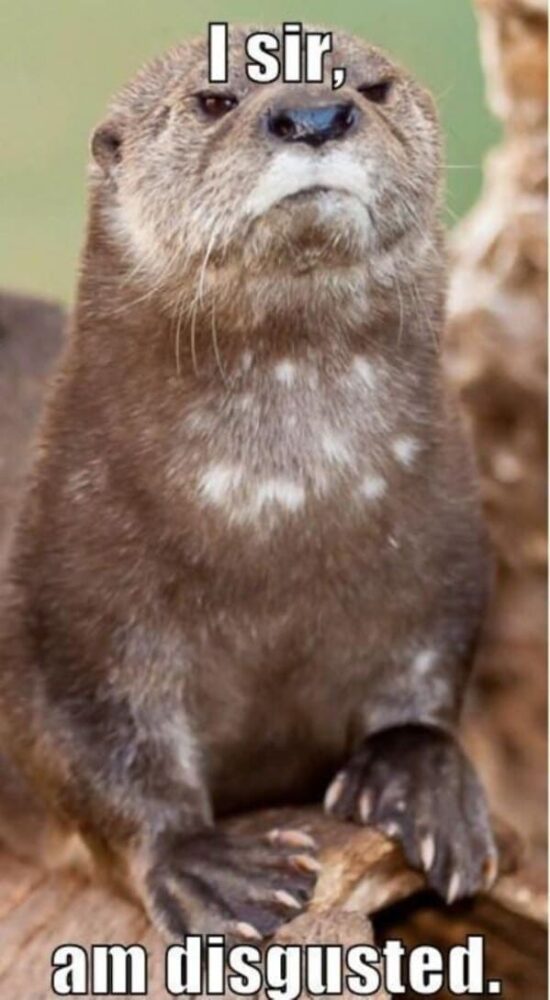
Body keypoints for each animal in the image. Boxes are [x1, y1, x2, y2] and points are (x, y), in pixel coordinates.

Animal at [0, 26, 497, 941]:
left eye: (372, 87)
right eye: (214, 99)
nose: (313, 116)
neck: (278, 520)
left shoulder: (444, 548)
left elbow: (429, 678)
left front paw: (421, 783)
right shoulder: (61, 604)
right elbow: (88, 754)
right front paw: (206, 866)